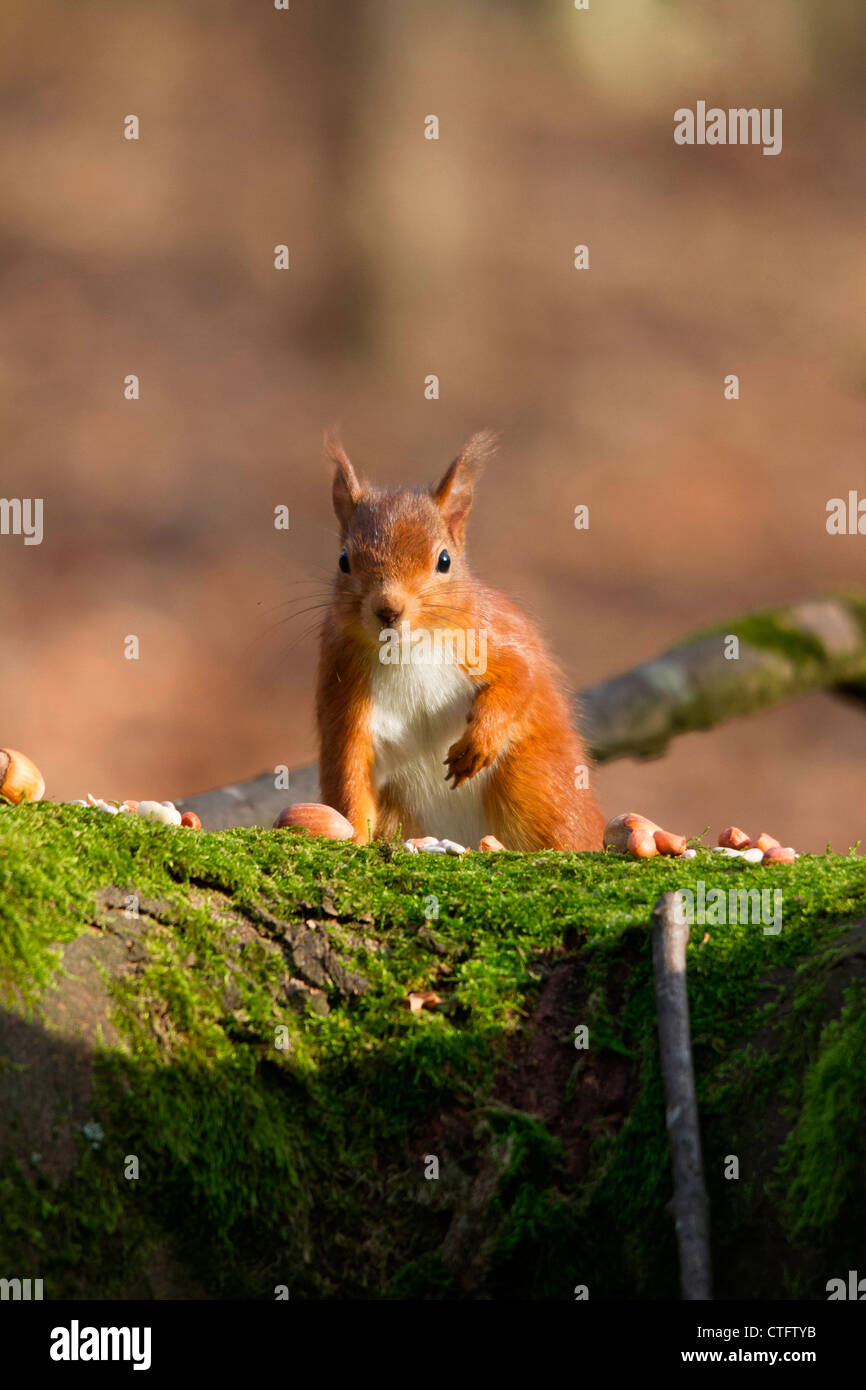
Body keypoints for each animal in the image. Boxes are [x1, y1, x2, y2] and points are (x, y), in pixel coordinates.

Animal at [316, 431, 605, 852]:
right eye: (343, 561)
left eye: (444, 561)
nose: (388, 610)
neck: (408, 651)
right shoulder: (344, 692)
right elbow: (349, 773)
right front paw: (350, 834)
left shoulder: (486, 636)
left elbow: (521, 675)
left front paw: (479, 742)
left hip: (535, 783)